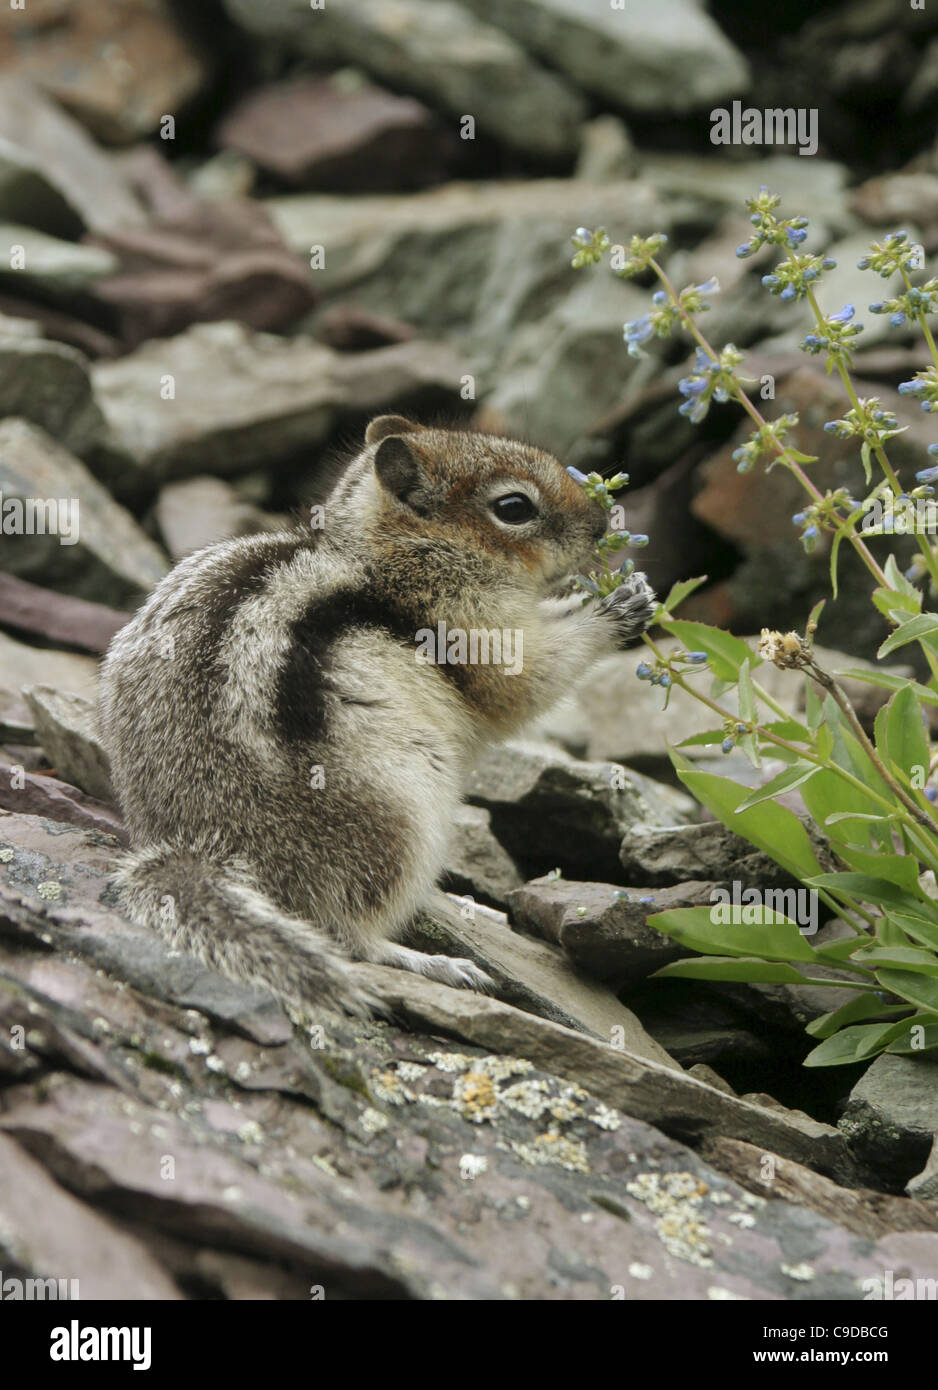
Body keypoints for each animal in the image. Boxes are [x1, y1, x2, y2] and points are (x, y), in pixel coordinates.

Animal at [98, 416, 656, 1017]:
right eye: (513, 507)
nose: (601, 525)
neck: (386, 555)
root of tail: (213, 851)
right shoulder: (472, 626)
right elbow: (527, 679)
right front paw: (615, 609)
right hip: (402, 811)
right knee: (346, 931)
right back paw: (431, 960)